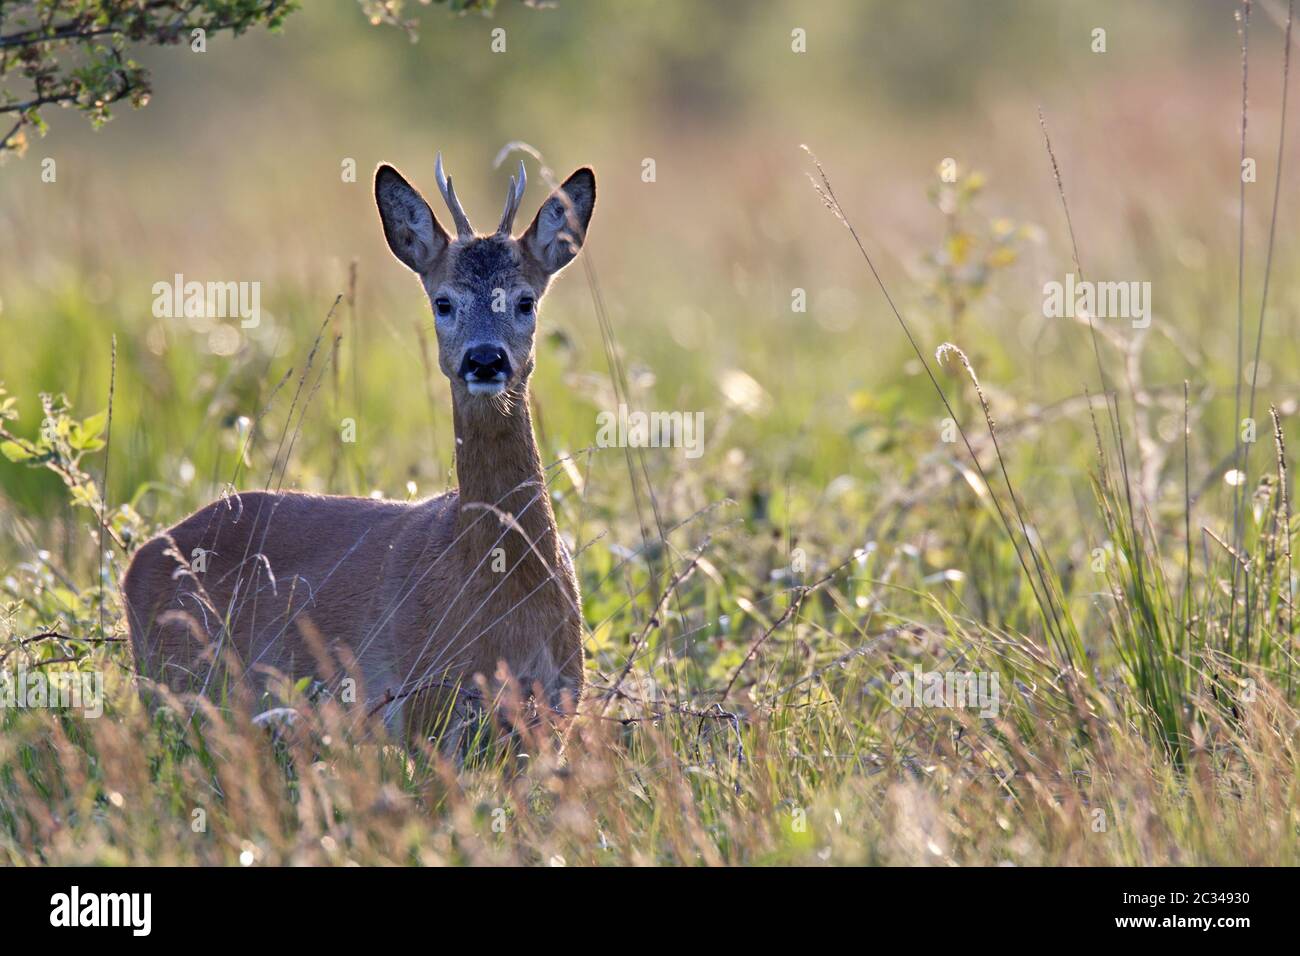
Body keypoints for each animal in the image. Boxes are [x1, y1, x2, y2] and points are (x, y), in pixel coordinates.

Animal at [122, 153, 596, 746]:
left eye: (526, 301)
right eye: (443, 302)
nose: (485, 359)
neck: (504, 590)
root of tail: (137, 560)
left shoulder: (559, 705)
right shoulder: (422, 703)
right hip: (179, 686)